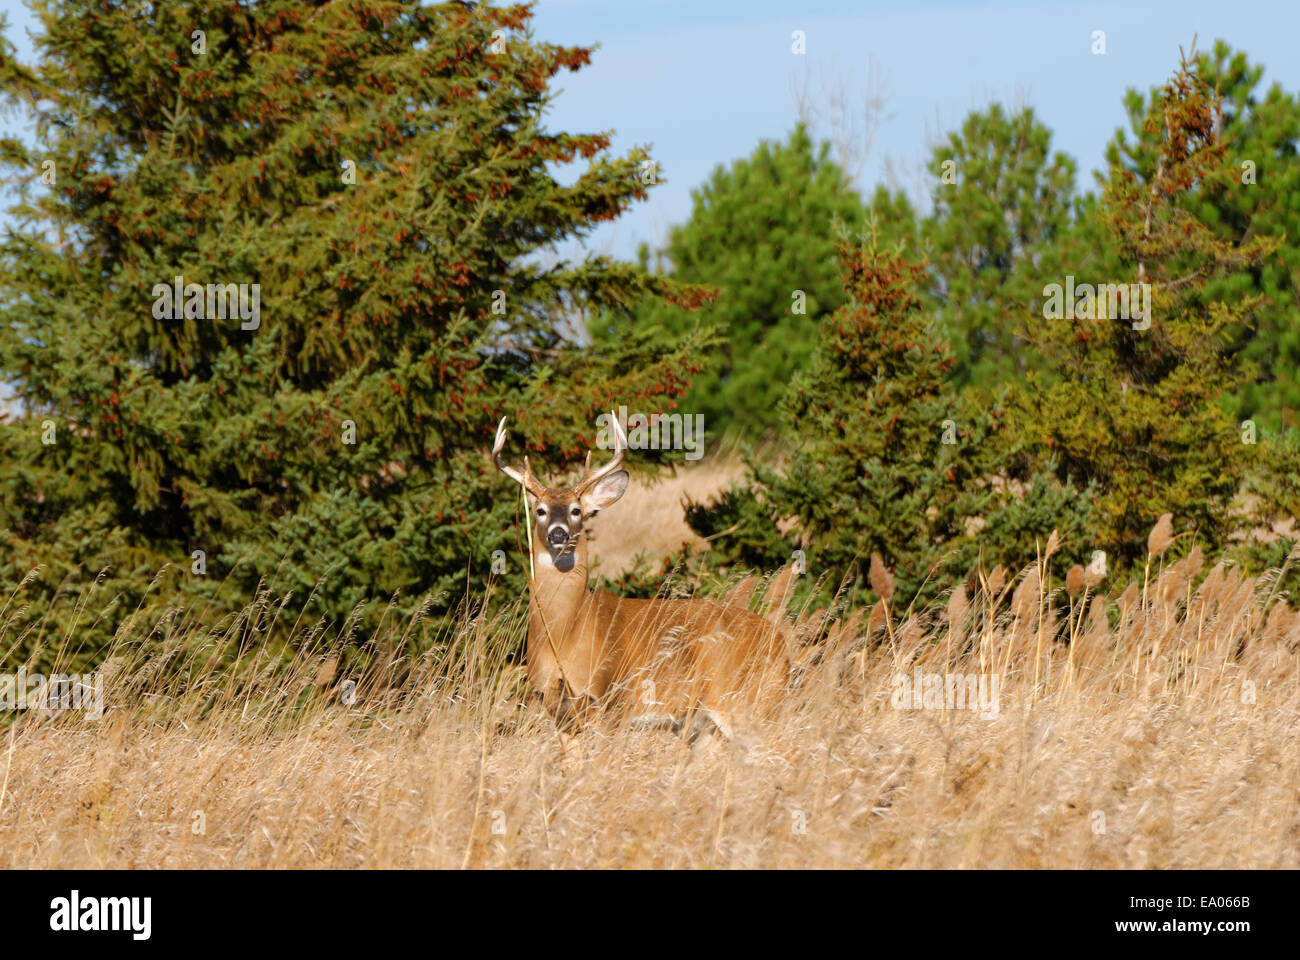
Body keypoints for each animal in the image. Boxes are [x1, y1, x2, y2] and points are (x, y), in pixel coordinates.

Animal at [492, 413, 790, 742]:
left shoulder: (609, 701)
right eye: (540, 510)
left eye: (576, 510)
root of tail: (781, 645)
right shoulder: (556, 710)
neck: (565, 633)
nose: (559, 534)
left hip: (749, 703)